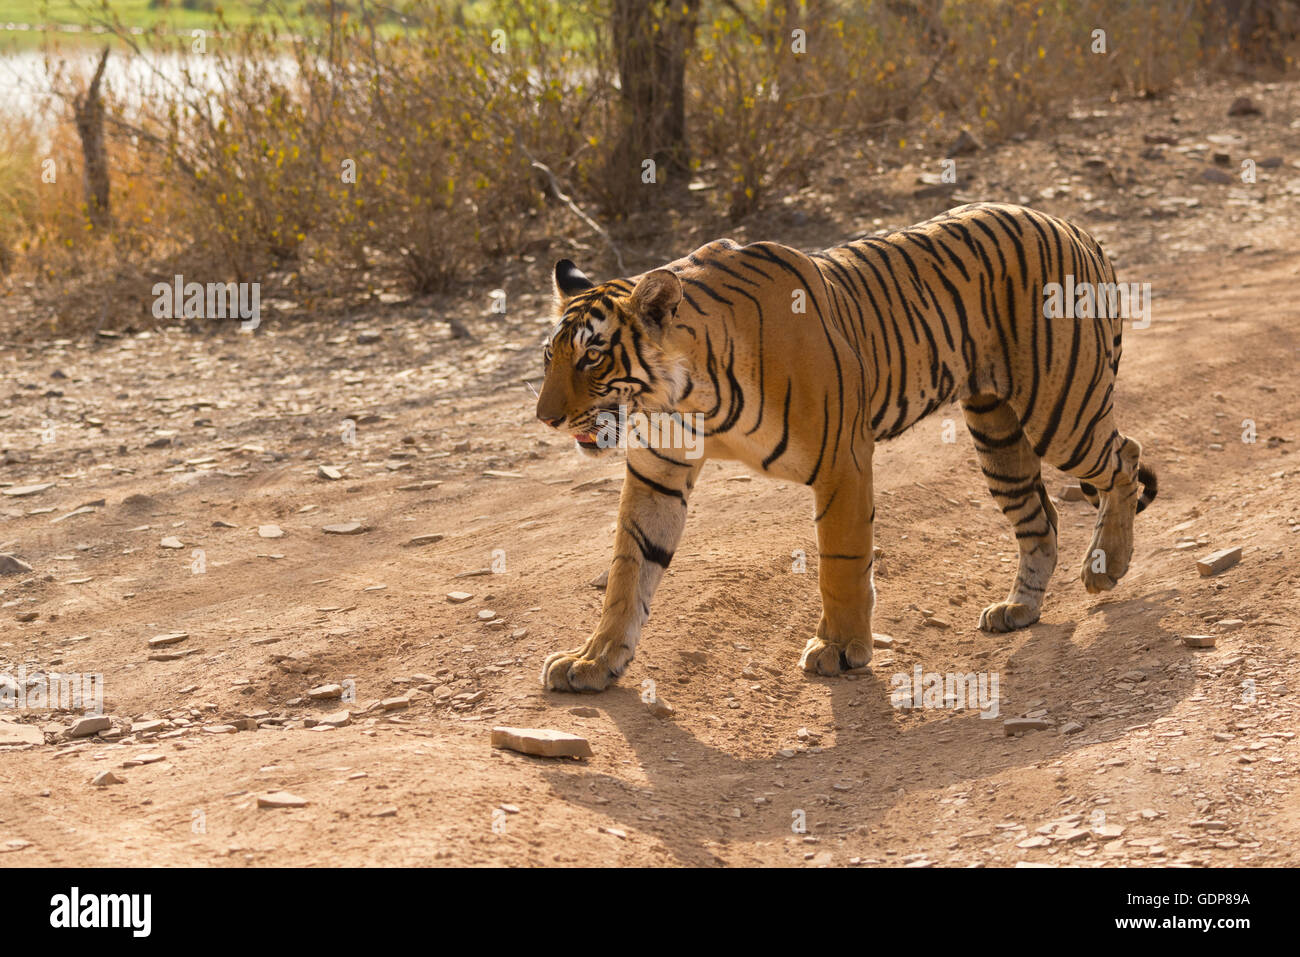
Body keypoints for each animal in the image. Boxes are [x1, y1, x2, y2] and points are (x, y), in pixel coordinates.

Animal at [534, 202, 1157, 693]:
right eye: (549, 356)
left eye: (593, 357)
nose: (546, 418)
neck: (685, 393)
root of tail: (1073, 225)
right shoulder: (657, 475)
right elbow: (629, 570)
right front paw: (593, 662)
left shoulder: (843, 460)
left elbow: (841, 560)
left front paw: (839, 649)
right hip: (996, 430)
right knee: (1041, 517)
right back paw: (1020, 608)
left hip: (1061, 411)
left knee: (1124, 455)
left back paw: (1108, 565)